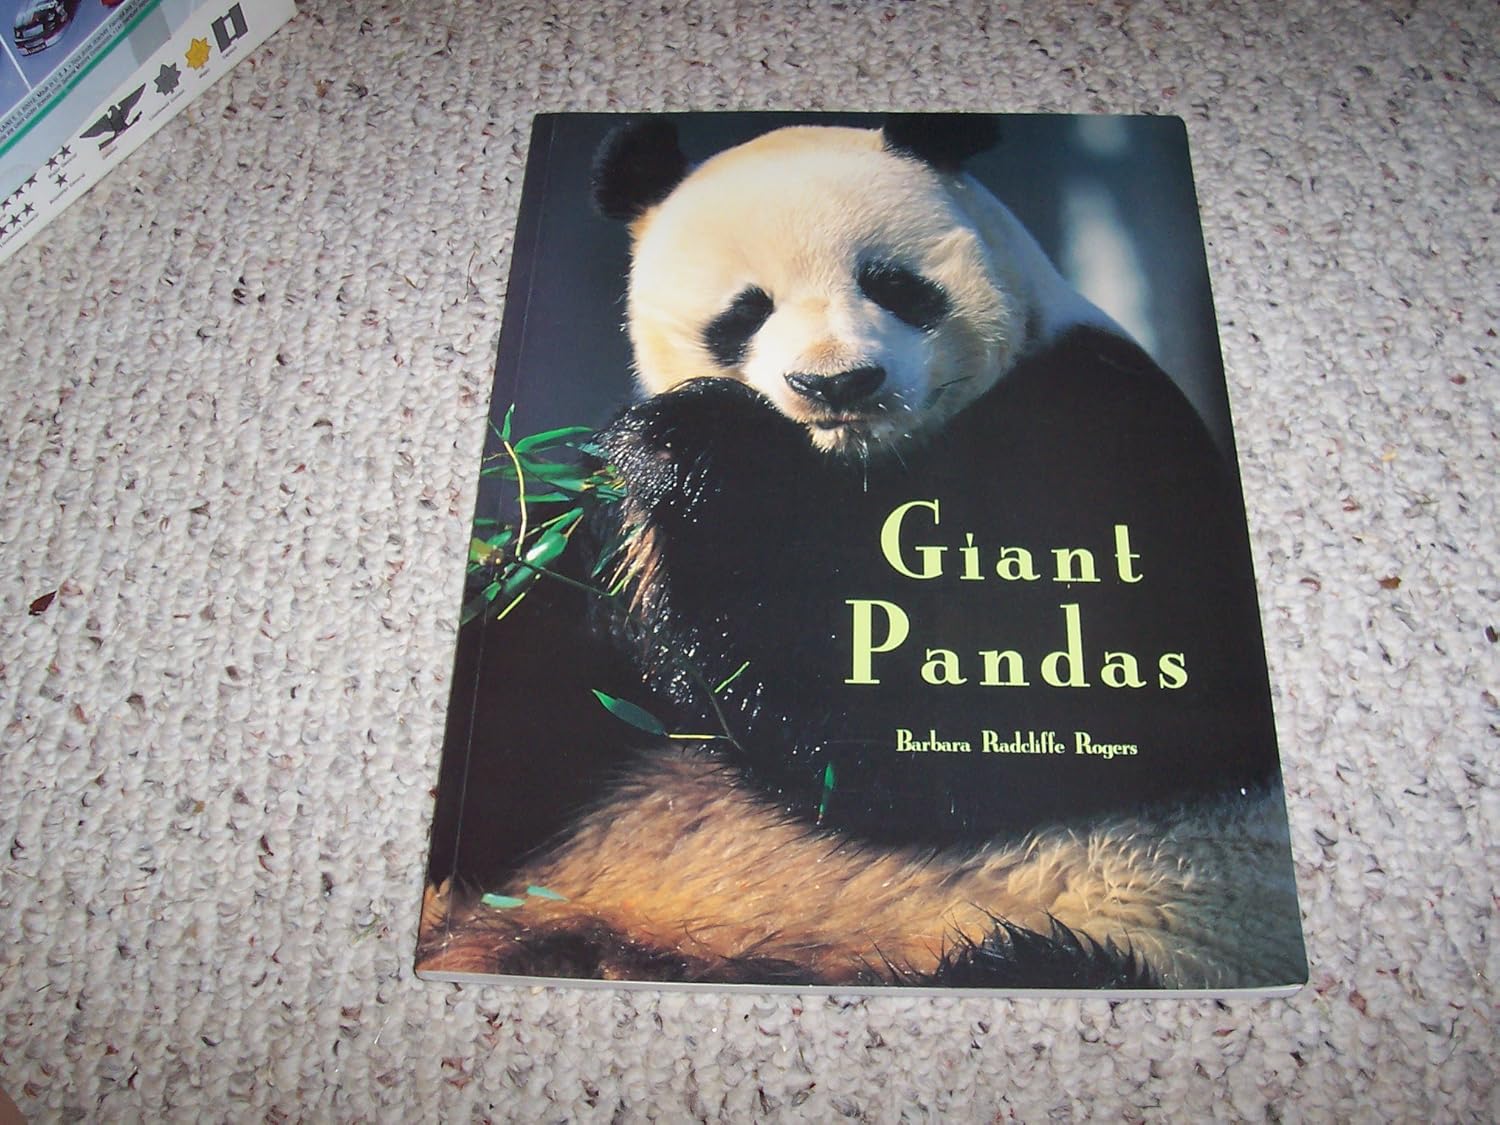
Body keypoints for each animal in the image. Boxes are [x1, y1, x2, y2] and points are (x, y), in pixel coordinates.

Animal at [419, 116, 1306, 991]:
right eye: (745, 312)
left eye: (892, 283)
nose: (837, 384)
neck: (855, 471)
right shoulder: (607, 580)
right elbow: (548, 645)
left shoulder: (1094, 422)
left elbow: (962, 710)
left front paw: (693, 443)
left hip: (1127, 925)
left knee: (1036, 960)